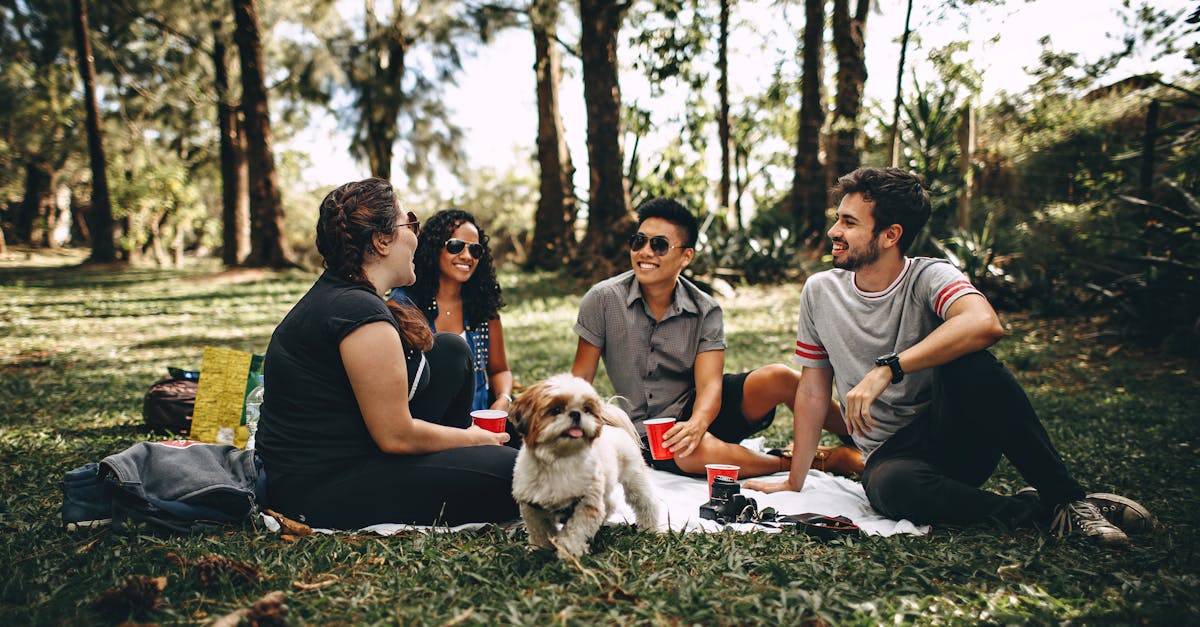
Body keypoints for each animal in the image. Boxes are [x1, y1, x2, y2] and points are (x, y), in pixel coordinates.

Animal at [506, 369, 657, 557]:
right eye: (556, 409)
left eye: (586, 409)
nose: (576, 414)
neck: (559, 460)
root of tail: (614, 427)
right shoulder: (532, 506)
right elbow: (539, 530)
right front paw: (540, 549)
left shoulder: (587, 503)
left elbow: (575, 531)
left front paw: (568, 551)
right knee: (609, 504)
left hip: (634, 478)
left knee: (646, 502)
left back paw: (650, 527)